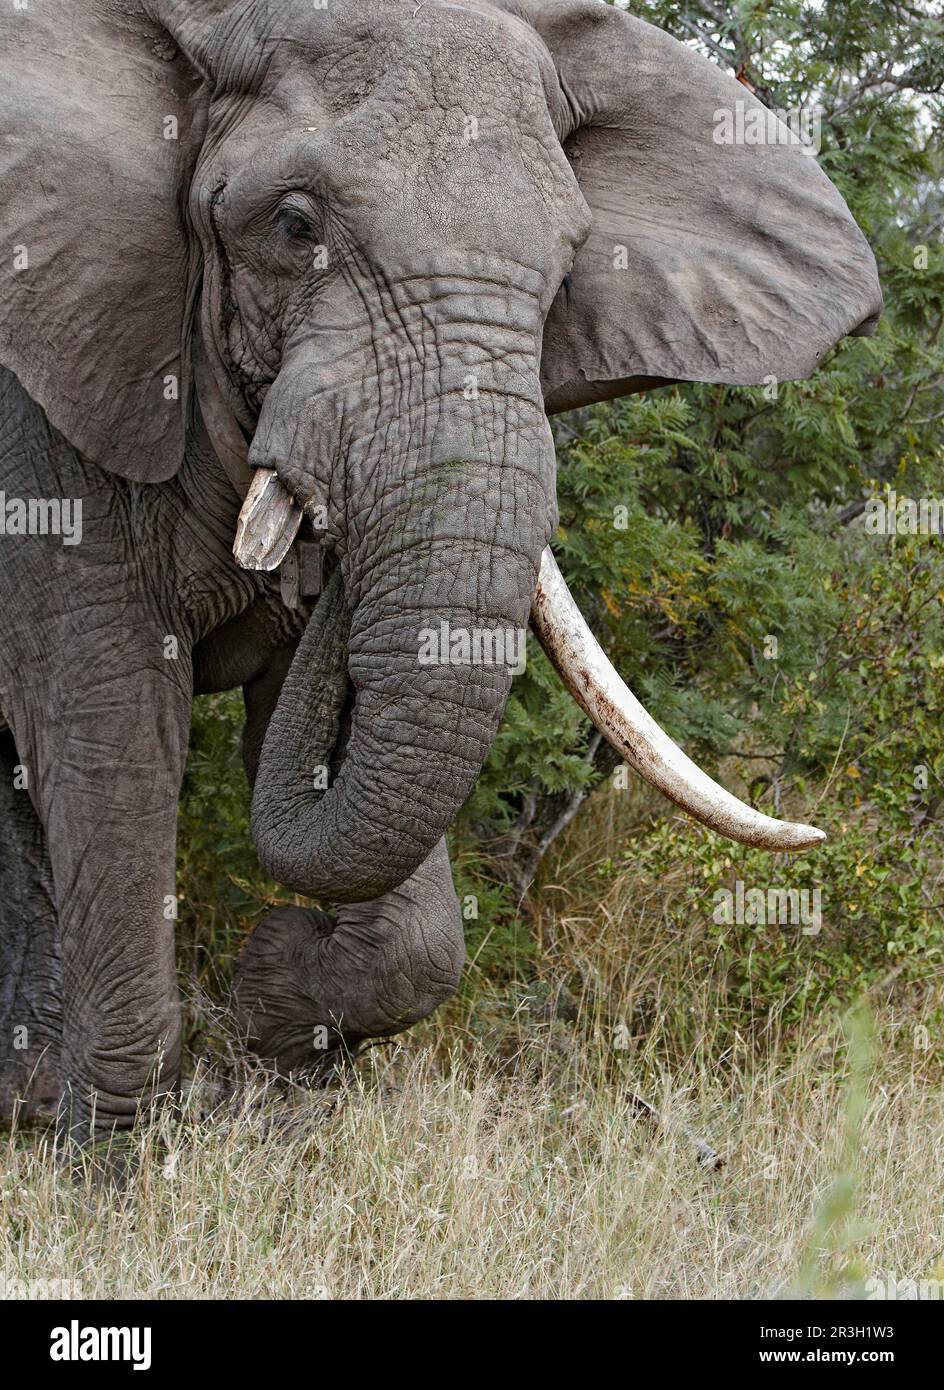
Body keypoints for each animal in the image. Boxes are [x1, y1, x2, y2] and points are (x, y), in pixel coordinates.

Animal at [0, 0, 881, 1145]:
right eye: (293, 226)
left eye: (568, 265)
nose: (319, 543)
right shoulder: (52, 383)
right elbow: (102, 708)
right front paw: (118, 1165)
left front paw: (279, 1017)